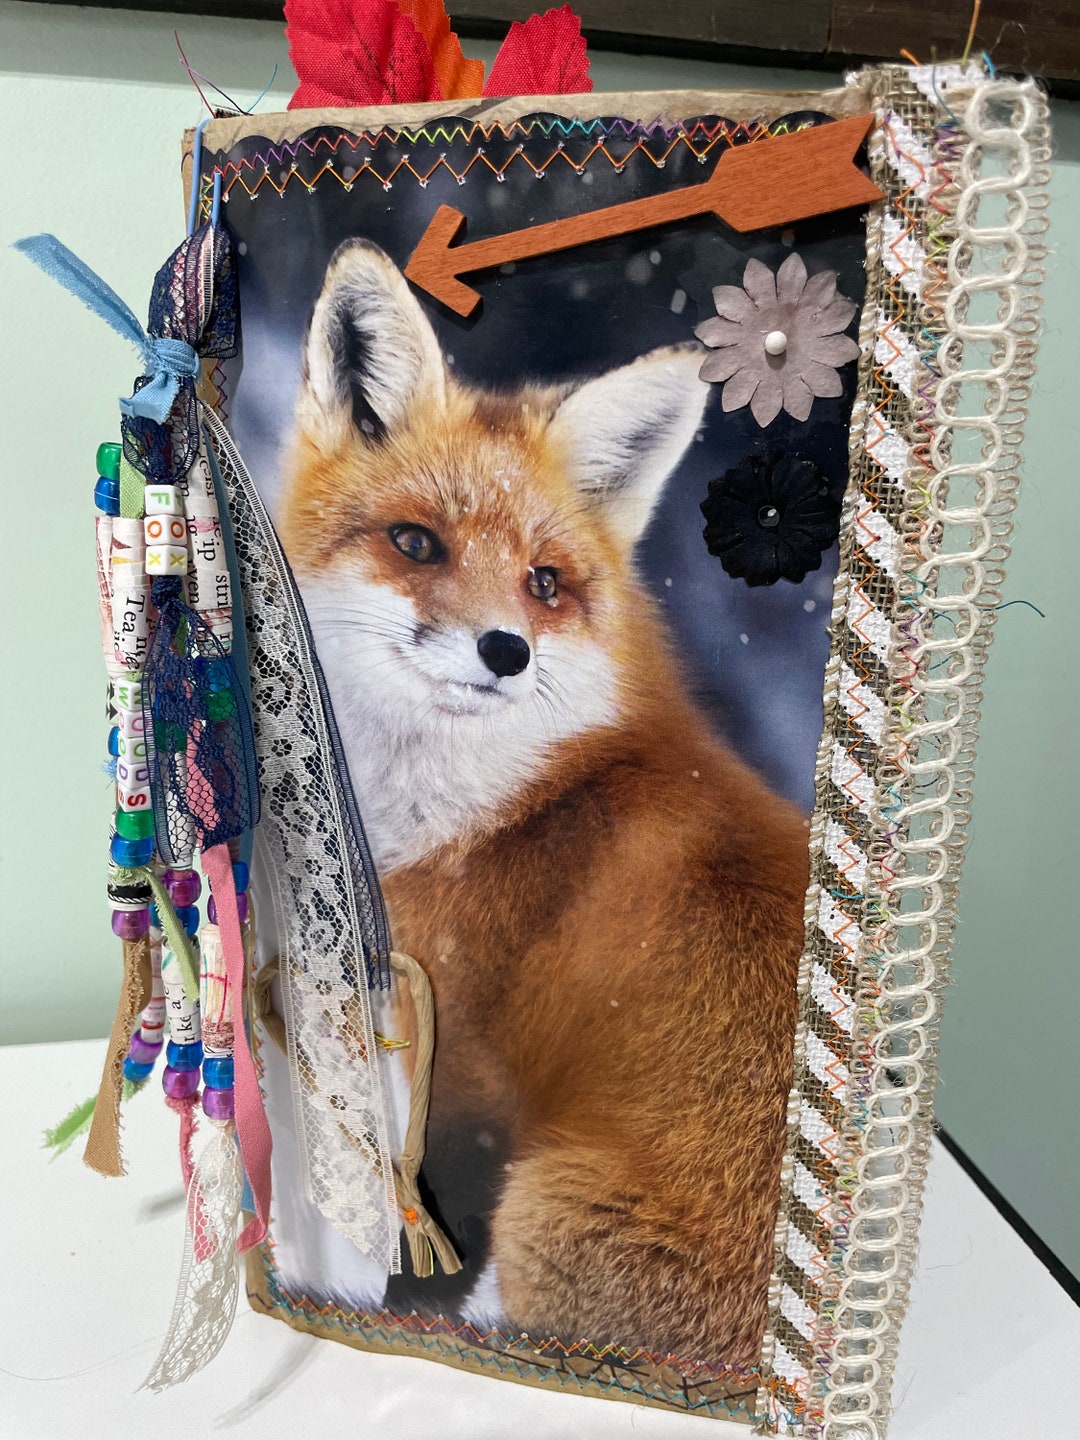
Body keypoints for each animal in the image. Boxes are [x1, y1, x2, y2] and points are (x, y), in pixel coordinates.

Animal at [278, 239, 809, 1369]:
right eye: (417, 544)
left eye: (544, 582)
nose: (506, 651)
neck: (497, 808)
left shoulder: (470, 1074)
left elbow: (425, 1247)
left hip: (544, 1215)